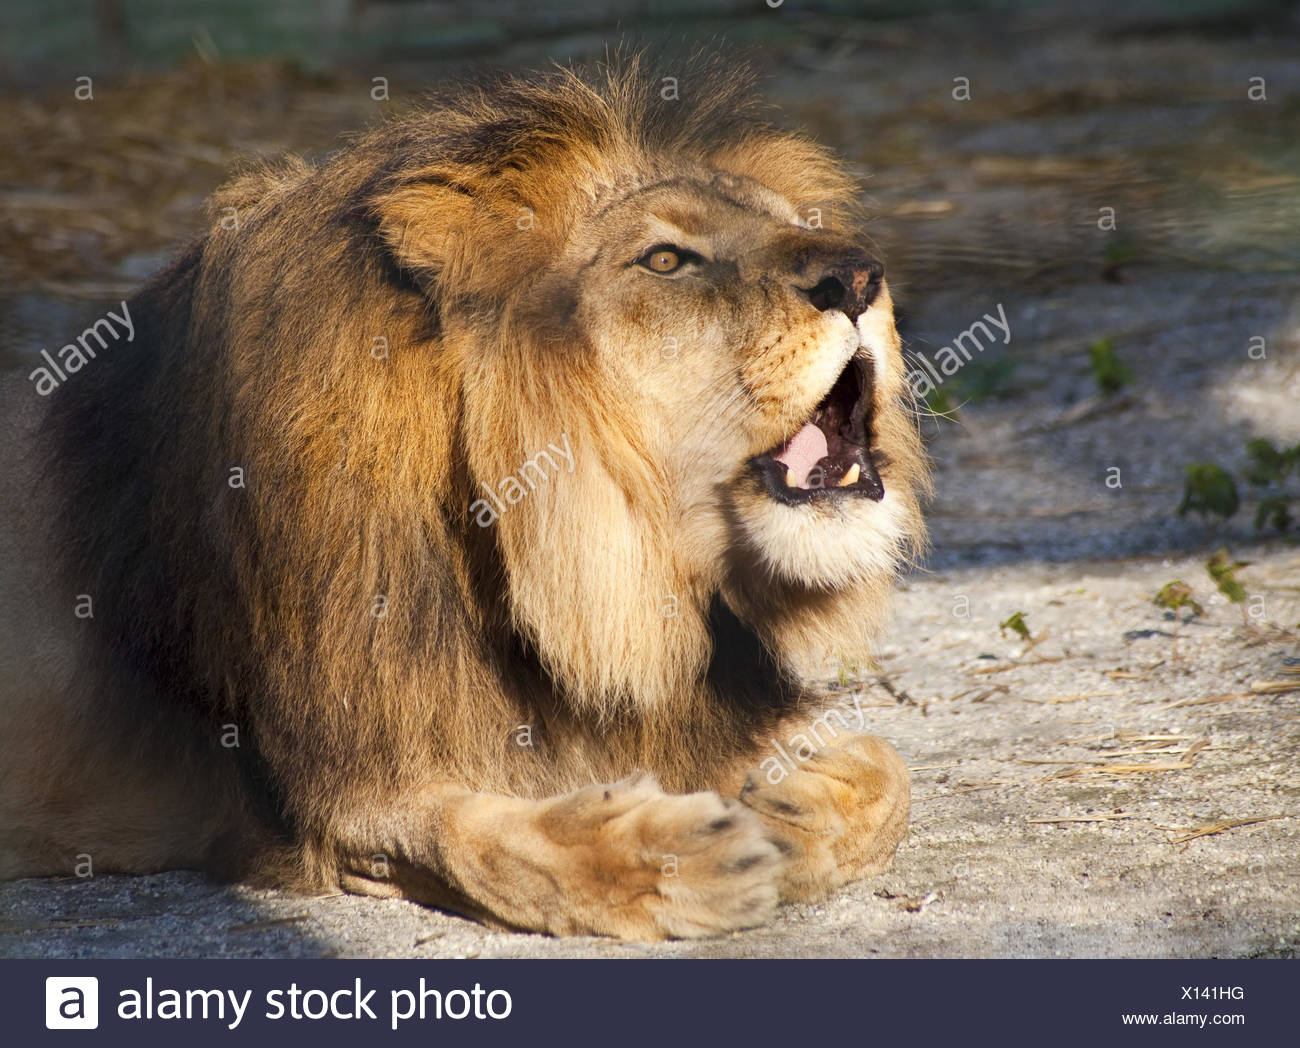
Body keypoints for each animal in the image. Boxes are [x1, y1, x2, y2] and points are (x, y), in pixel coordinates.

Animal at [0, 55, 927, 940]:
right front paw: (677, 858)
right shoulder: (338, 796)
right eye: (666, 260)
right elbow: (483, 843)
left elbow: (891, 774)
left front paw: (788, 804)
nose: (858, 278)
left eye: (802, 226)